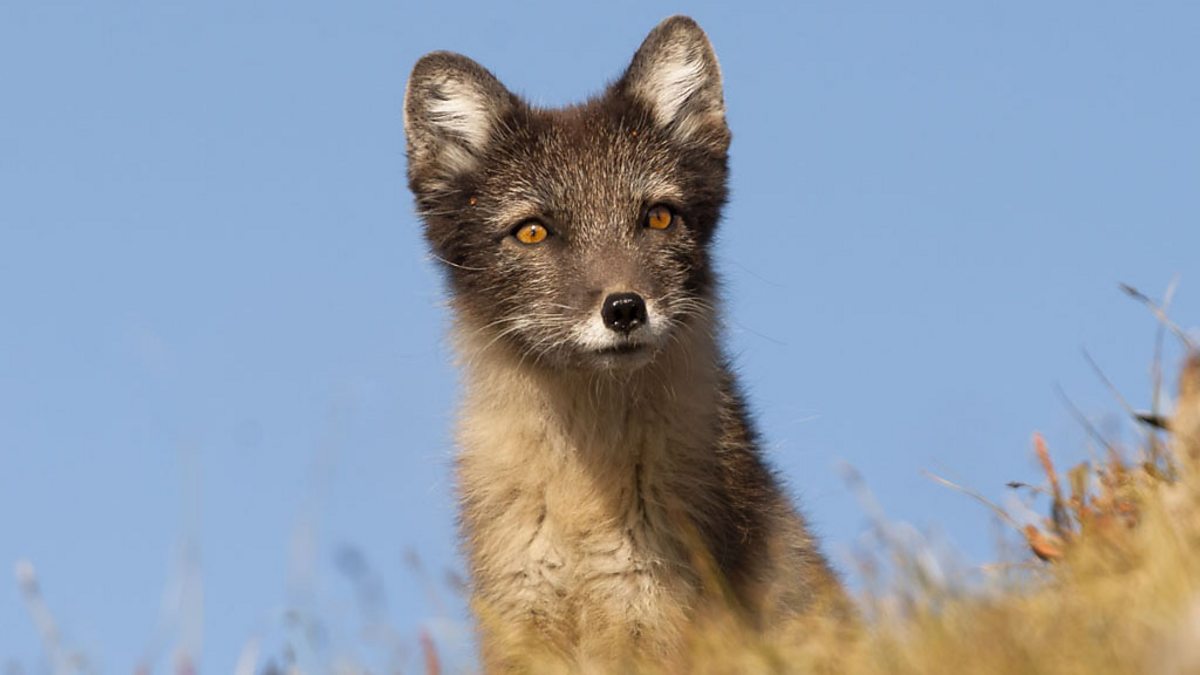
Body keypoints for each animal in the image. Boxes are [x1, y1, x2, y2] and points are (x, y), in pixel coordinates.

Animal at [404, 15, 848, 671]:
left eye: (658, 217)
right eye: (532, 232)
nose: (624, 309)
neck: (581, 503)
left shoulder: (649, 607)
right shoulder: (522, 618)